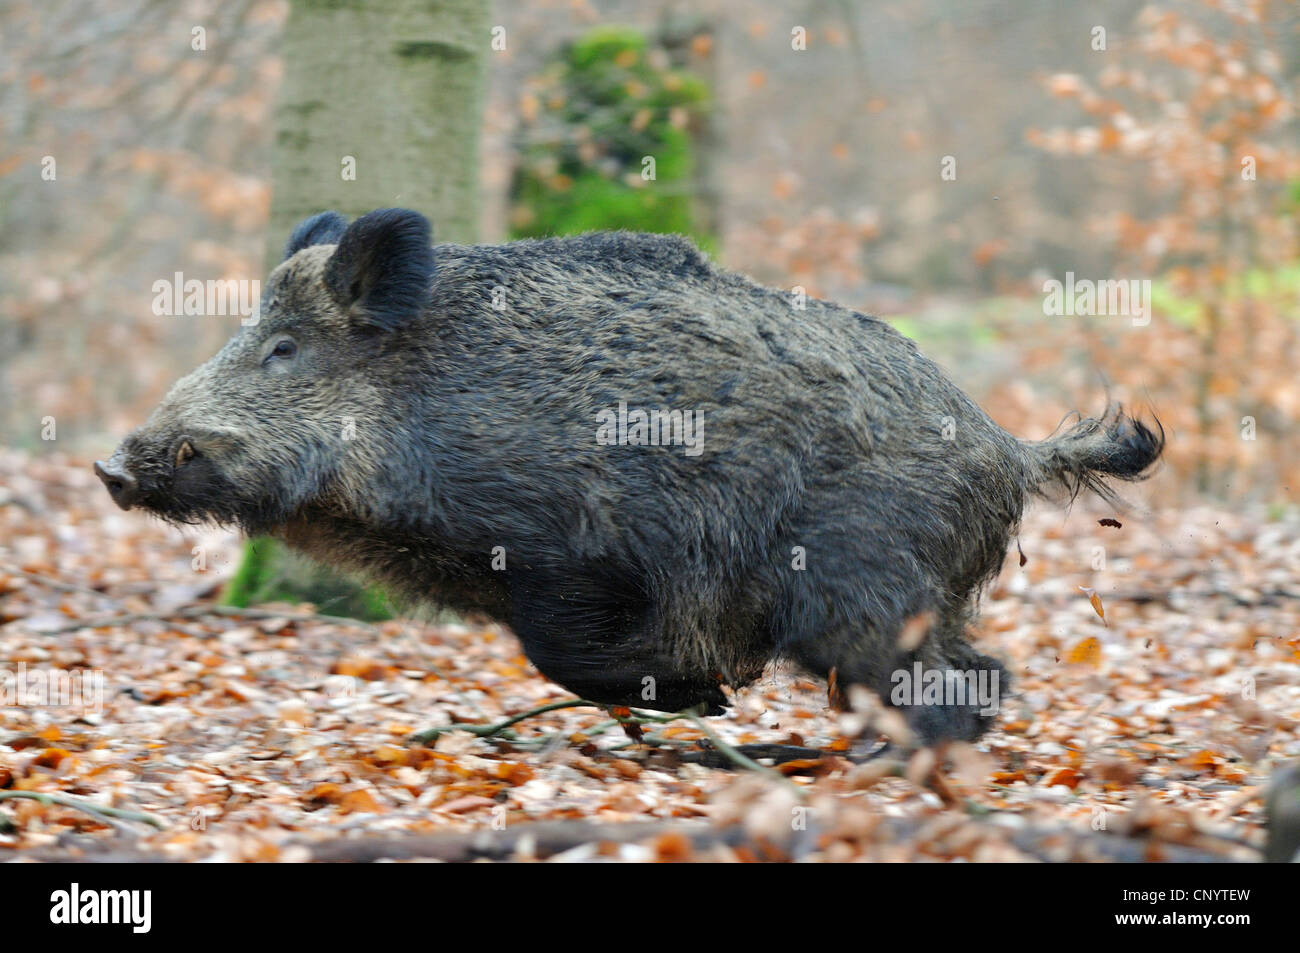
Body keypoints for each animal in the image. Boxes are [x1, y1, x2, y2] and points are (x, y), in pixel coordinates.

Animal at [97, 208, 1163, 743]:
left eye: (281, 348)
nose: (112, 462)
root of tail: (1010, 447)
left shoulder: (576, 553)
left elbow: (560, 652)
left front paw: (708, 697)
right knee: (980, 669)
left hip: (856, 580)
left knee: (937, 676)